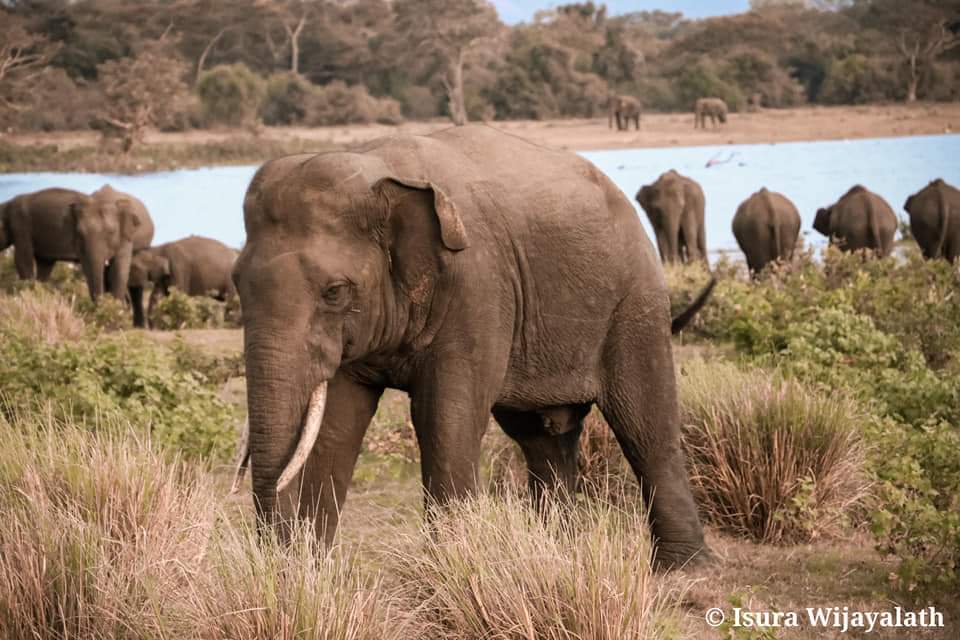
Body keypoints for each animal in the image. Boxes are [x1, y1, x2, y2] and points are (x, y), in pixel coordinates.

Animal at [0, 185, 154, 301]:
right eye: (80, 233)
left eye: (111, 232)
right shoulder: (20, 225)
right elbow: (23, 260)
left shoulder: (126, 236)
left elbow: (119, 269)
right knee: (45, 264)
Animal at [230, 124, 714, 570]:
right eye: (237, 282)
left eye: (334, 292)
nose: (281, 561)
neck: (380, 168)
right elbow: (337, 423)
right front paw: (310, 574)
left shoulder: (478, 285)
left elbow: (445, 418)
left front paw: (445, 574)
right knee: (542, 438)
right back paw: (558, 553)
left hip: (635, 302)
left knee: (644, 426)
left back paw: (683, 568)